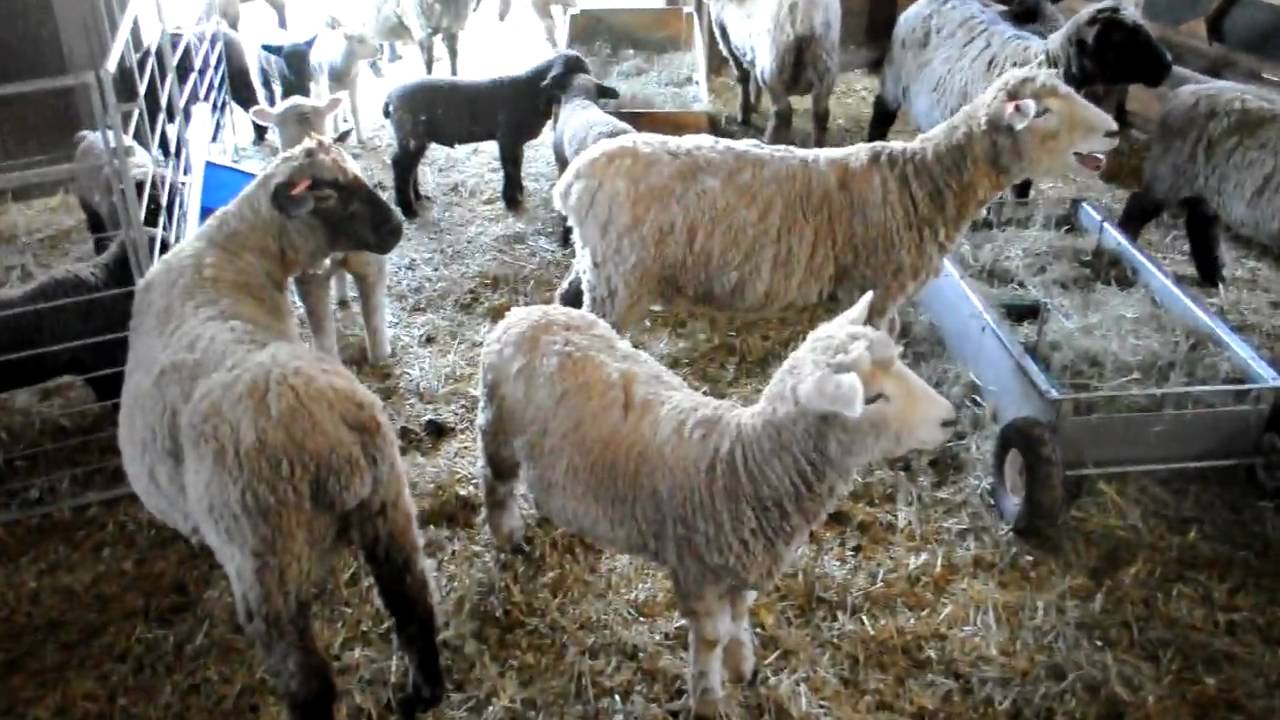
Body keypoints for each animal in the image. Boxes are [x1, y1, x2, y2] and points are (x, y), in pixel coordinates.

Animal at [116, 137, 445, 720]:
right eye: (330, 193)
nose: (395, 229)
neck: (230, 257)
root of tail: (334, 440)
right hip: (388, 509)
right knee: (413, 604)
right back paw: (422, 693)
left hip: (265, 564)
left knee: (309, 683)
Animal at [383, 49, 593, 217]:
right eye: (575, 72)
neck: (531, 91)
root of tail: (390, 97)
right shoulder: (508, 139)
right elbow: (511, 168)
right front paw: (513, 201)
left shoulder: (515, 142)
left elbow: (517, 166)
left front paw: (518, 194)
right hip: (411, 135)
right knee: (400, 165)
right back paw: (408, 209)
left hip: (418, 138)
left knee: (411, 167)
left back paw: (418, 197)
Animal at [475, 291, 958, 718]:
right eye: (872, 398)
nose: (951, 418)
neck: (742, 468)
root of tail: (523, 314)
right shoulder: (696, 571)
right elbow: (711, 637)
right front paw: (708, 698)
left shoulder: (741, 563)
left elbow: (740, 616)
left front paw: (743, 666)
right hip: (498, 428)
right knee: (497, 484)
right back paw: (507, 534)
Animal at [708, 0, 841, 147]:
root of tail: (805, 13)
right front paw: (754, 104)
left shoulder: (723, 32)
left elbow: (743, 77)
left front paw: (744, 114)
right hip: (825, 58)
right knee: (821, 112)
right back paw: (817, 146)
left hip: (773, 62)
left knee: (783, 112)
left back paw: (769, 141)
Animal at [1117, 80, 1280, 289]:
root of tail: (1185, 91)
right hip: (1174, 173)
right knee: (1139, 205)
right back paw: (1125, 241)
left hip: (1205, 187)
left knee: (1200, 225)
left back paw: (1214, 277)